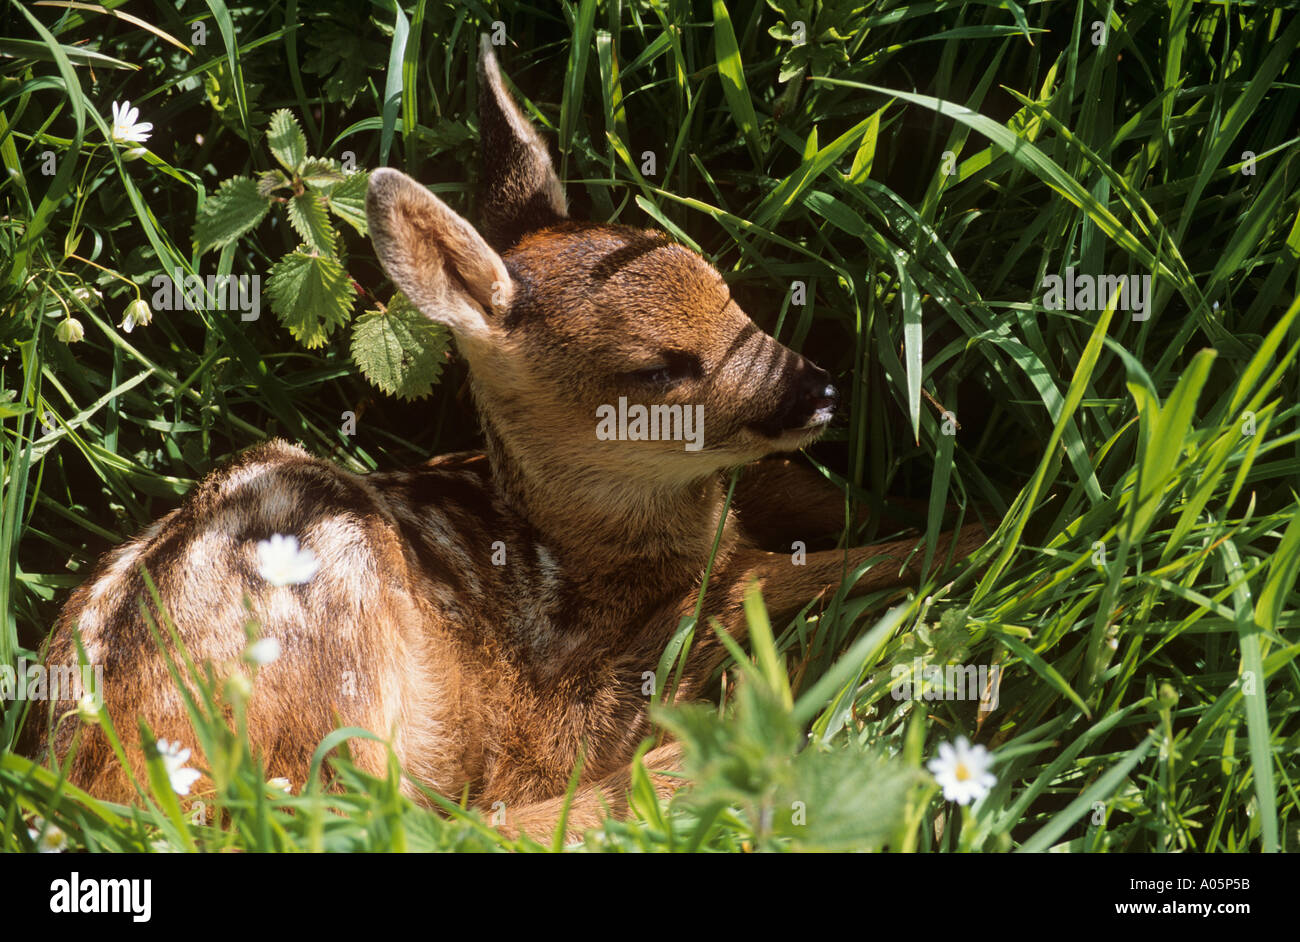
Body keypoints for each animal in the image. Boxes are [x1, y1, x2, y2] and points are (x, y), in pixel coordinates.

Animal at [28, 36, 985, 840]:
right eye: (657, 368)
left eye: (725, 289)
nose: (818, 390)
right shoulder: (600, 684)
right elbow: (810, 576)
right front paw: (988, 542)